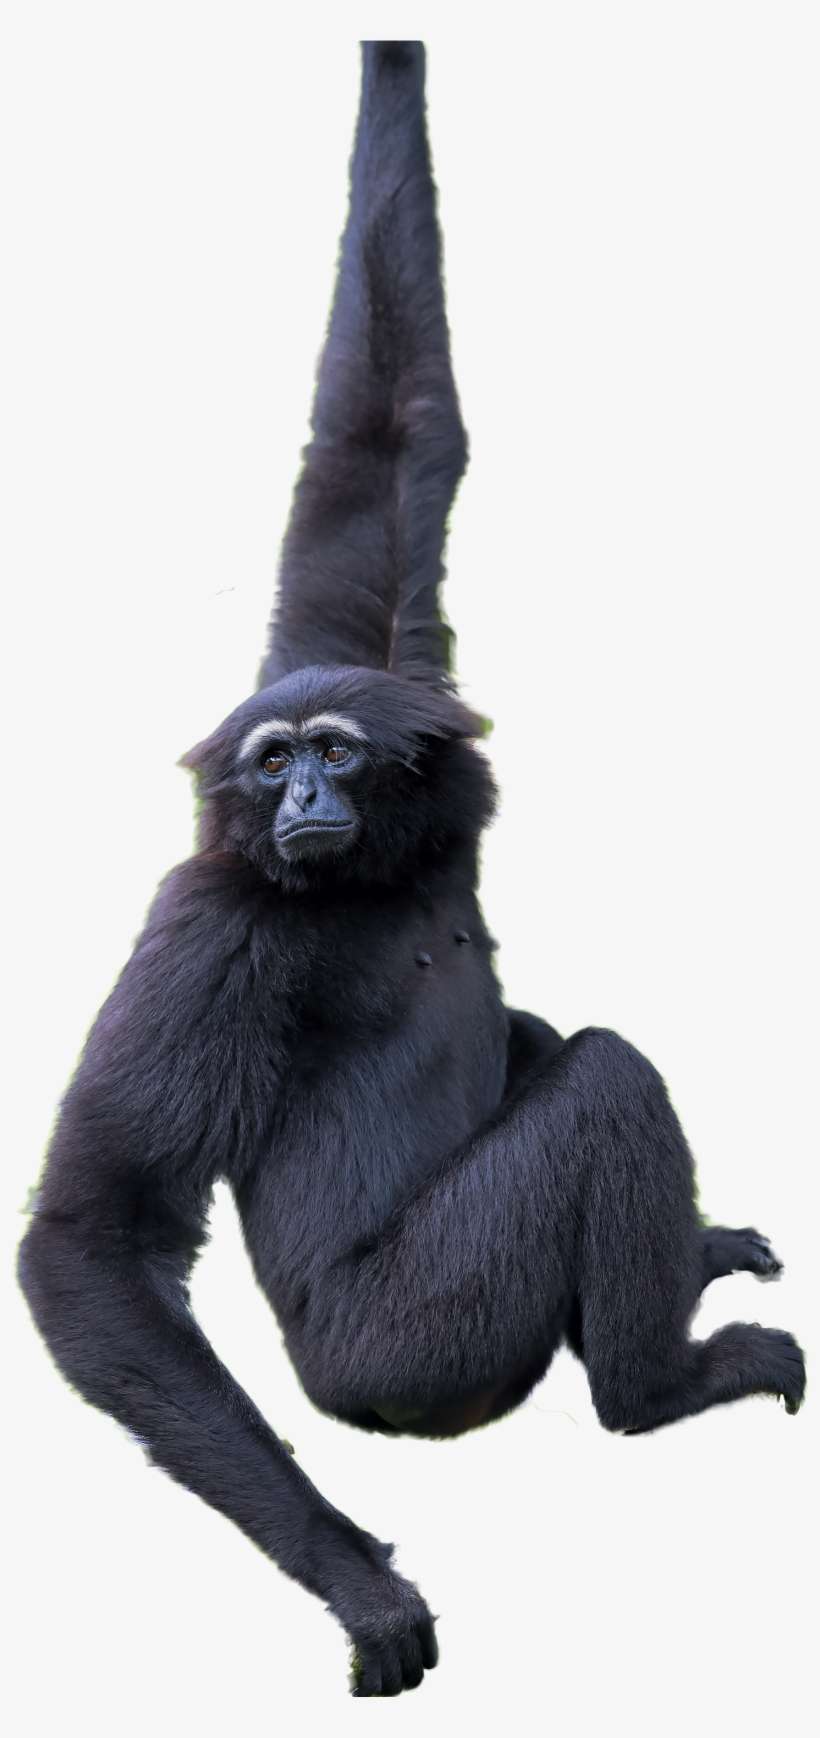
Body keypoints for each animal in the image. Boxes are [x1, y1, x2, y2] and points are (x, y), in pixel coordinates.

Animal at [17, 39, 804, 1699]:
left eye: (328, 746)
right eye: (270, 765)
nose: (307, 789)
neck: (372, 880)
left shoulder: (371, 658)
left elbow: (385, 437)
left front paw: (394, 57)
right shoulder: (216, 921)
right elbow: (96, 1231)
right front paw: (354, 1576)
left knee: (547, 1036)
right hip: (413, 1341)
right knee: (604, 1069)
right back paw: (654, 1387)